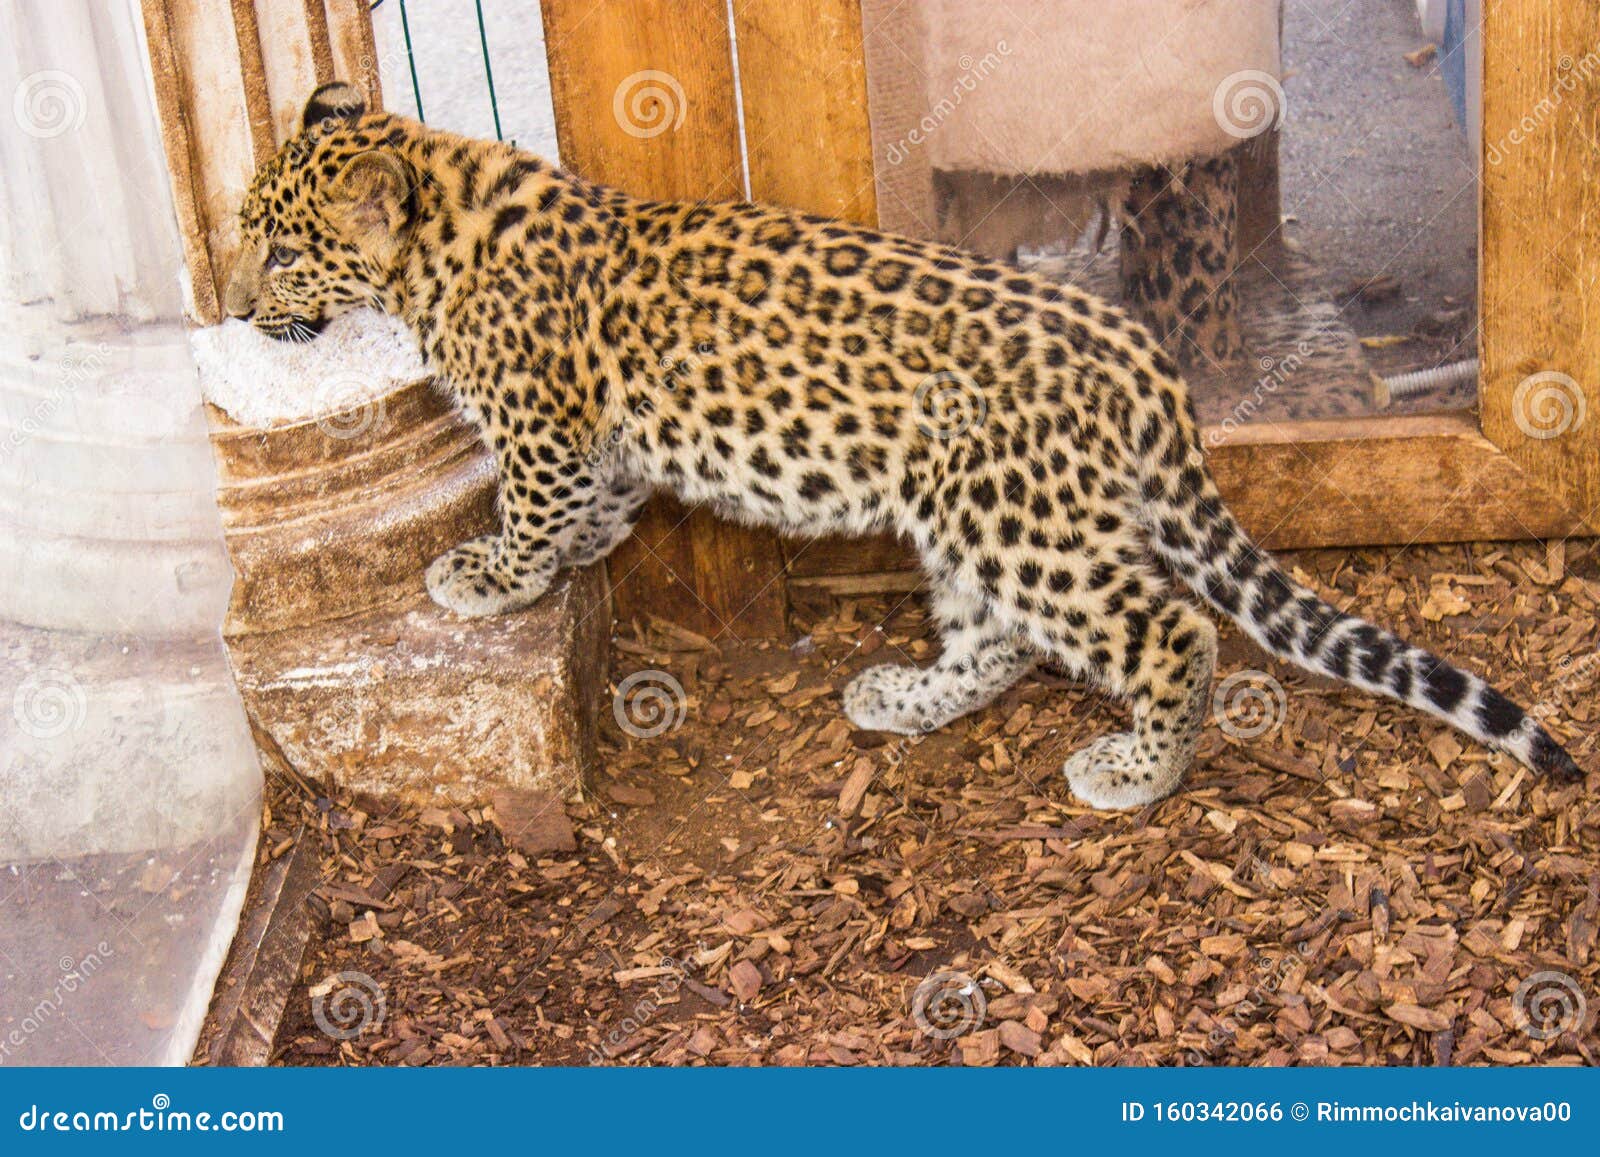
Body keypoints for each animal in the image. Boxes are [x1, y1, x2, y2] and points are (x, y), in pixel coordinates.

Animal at [225, 82, 1582, 810]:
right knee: (999, 641)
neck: (433, 228)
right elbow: (597, 503)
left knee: (1166, 627)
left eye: (282, 252)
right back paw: (903, 695)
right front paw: (572, 553)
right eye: (247, 231)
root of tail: (1135, 351)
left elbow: (529, 507)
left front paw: (488, 576)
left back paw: (1136, 767)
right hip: (968, 513)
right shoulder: (592, 439)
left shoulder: (540, 424)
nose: (231, 307)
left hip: (1018, 518)